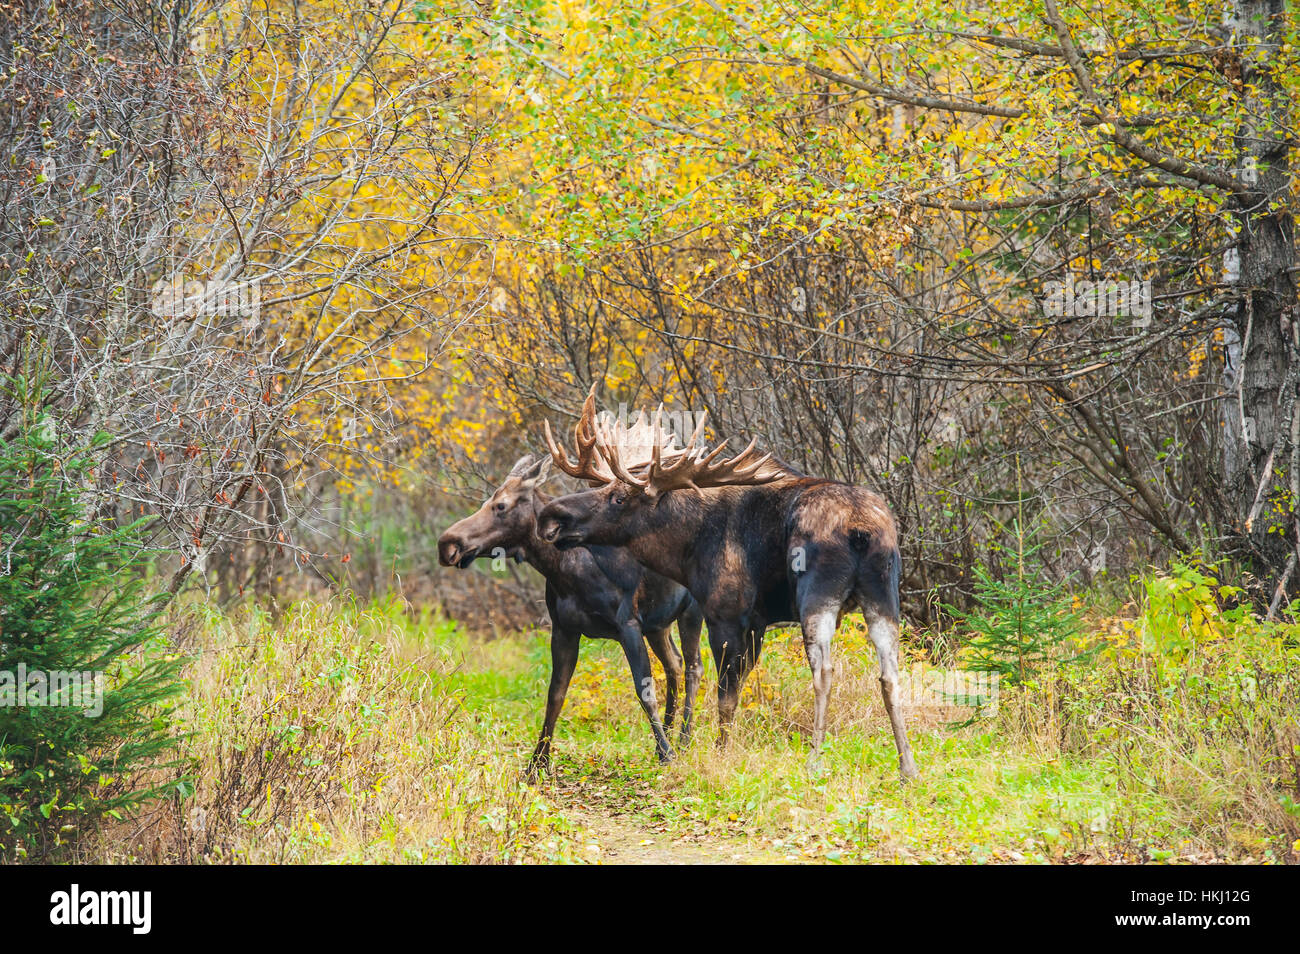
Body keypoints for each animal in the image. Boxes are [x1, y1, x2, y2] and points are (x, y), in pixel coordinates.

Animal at [437, 405, 705, 780]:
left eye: (501, 505)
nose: (448, 544)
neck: (568, 573)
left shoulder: (628, 625)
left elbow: (643, 691)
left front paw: (667, 755)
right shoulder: (565, 629)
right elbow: (555, 694)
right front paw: (536, 764)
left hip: (691, 612)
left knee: (694, 667)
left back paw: (682, 741)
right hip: (659, 623)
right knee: (675, 665)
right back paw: (666, 736)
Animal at [535, 394, 919, 781]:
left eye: (619, 497)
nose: (552, 516)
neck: (685, 547)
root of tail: (861, 529)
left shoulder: (725, 614)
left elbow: (725, 695)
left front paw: (720, 753)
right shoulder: (757, 623)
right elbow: (739, 684)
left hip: (817, 596)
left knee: (824, 670)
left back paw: (815, 761)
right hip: (883, 595)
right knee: (889, 672)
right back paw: (907, 766)